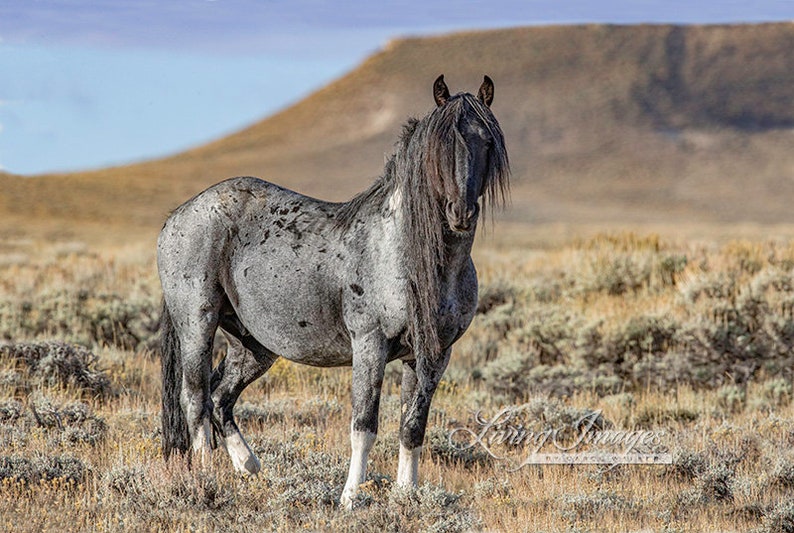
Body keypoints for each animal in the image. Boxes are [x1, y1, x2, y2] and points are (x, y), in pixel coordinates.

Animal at [157, 74, 509, 508]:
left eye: (487, 142)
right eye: (438, 147)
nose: (461, 213)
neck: (408, 253)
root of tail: (177, 216)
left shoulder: (433, 355)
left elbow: (412, 427)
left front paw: (407, 495)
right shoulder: (370, 345)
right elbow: (364, 425)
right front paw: (350, 498)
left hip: (252, 345)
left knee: (221, 397)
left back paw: (248, 467)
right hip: (197, 326)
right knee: (196, 400)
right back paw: (207, 479)